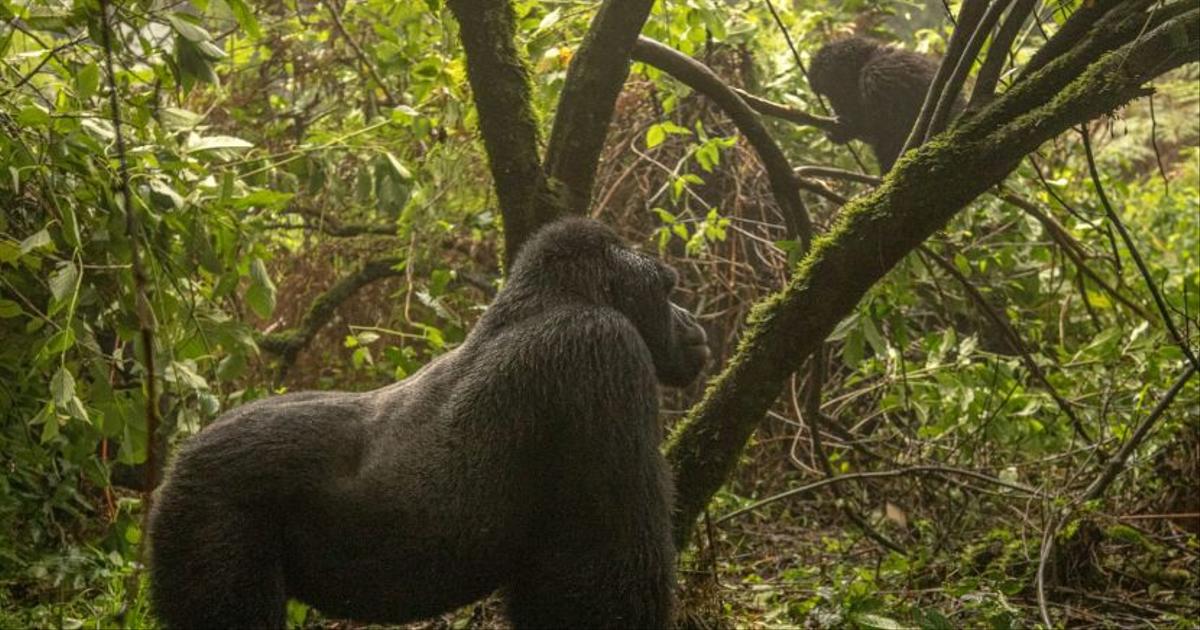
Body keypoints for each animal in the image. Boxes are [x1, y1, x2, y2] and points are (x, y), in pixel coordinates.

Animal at [147, 218, 710, 629]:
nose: (692, 323)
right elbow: (604, 581)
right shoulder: (603, 353)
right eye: (667, 289)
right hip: (210, 513)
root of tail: (176, 465)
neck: (555, 298)